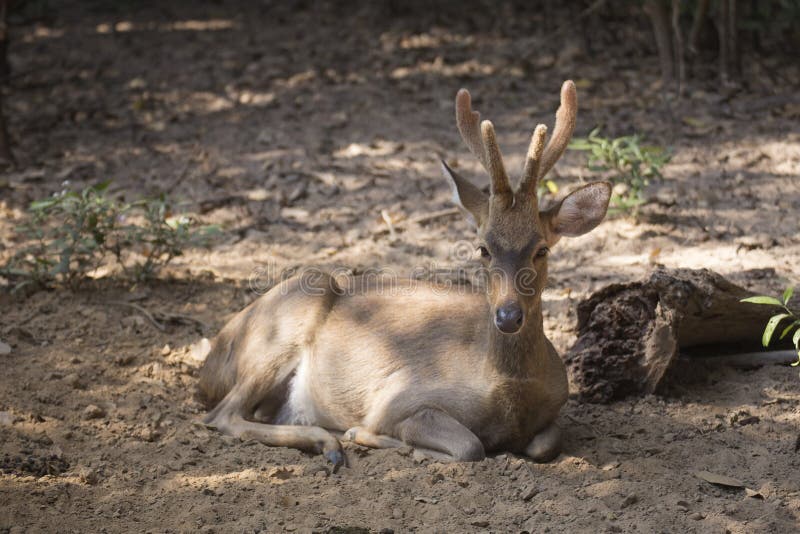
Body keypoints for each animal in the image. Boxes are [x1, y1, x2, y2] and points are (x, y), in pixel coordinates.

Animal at [198, 80, 611, 468]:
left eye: (541, 249)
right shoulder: (398, 397)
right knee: (222, 416)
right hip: (290, 314)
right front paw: (372, 437)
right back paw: (329, 443)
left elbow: (545, 443)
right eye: (484, 248)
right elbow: (470, 446)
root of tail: (211, 361)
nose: (508, 316)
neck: (509, 391)